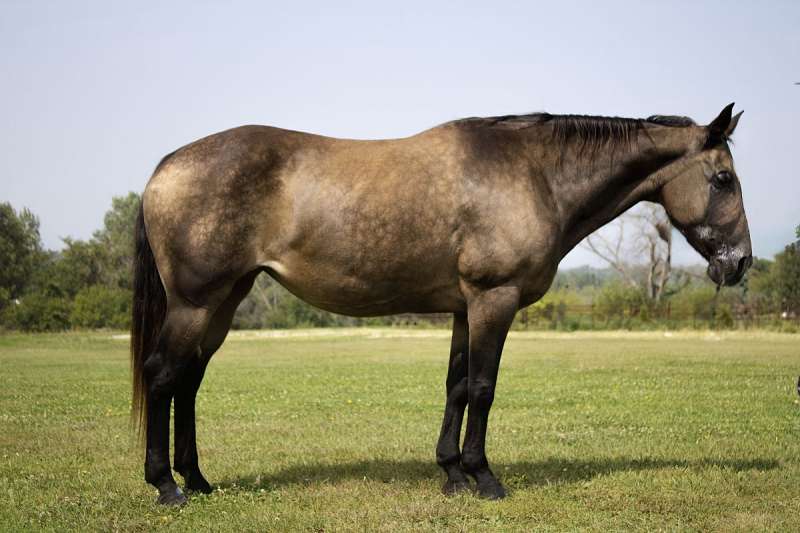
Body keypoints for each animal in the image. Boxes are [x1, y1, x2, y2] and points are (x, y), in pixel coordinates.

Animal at [131, 103, 751, 505]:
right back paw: (167, 486)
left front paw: (452, 475)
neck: (534, 174)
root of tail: (166, 165)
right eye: (723, 178)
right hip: (194, 303)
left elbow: (456, 385)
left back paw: (199, 481)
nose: (740, 262)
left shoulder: (462, 306)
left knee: (187, 381)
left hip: (223, 302)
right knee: (162, 376)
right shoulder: (493, 299)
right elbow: (483, 387)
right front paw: (485, 479)